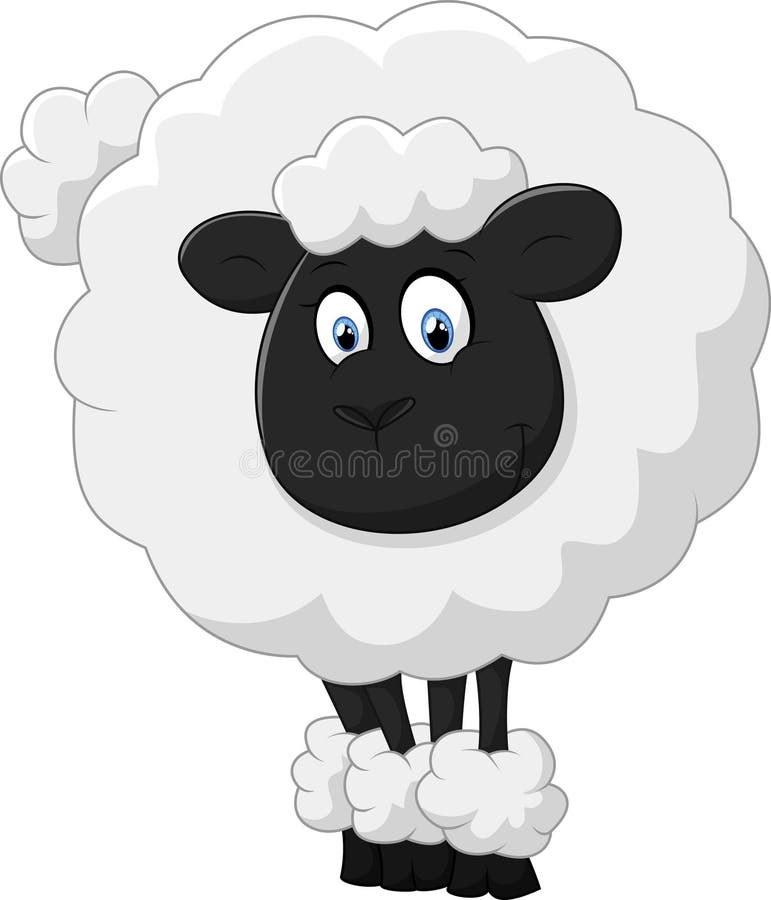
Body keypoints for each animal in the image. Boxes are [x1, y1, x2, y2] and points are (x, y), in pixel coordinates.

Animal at [2, 3, 768, 898]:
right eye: (340, 331)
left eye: (438, 328)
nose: (370, 408)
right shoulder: (343, 624)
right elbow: (386, 729)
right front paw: (402, 849)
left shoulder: (489, 610)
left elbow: (469, 713)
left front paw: (479, 857)